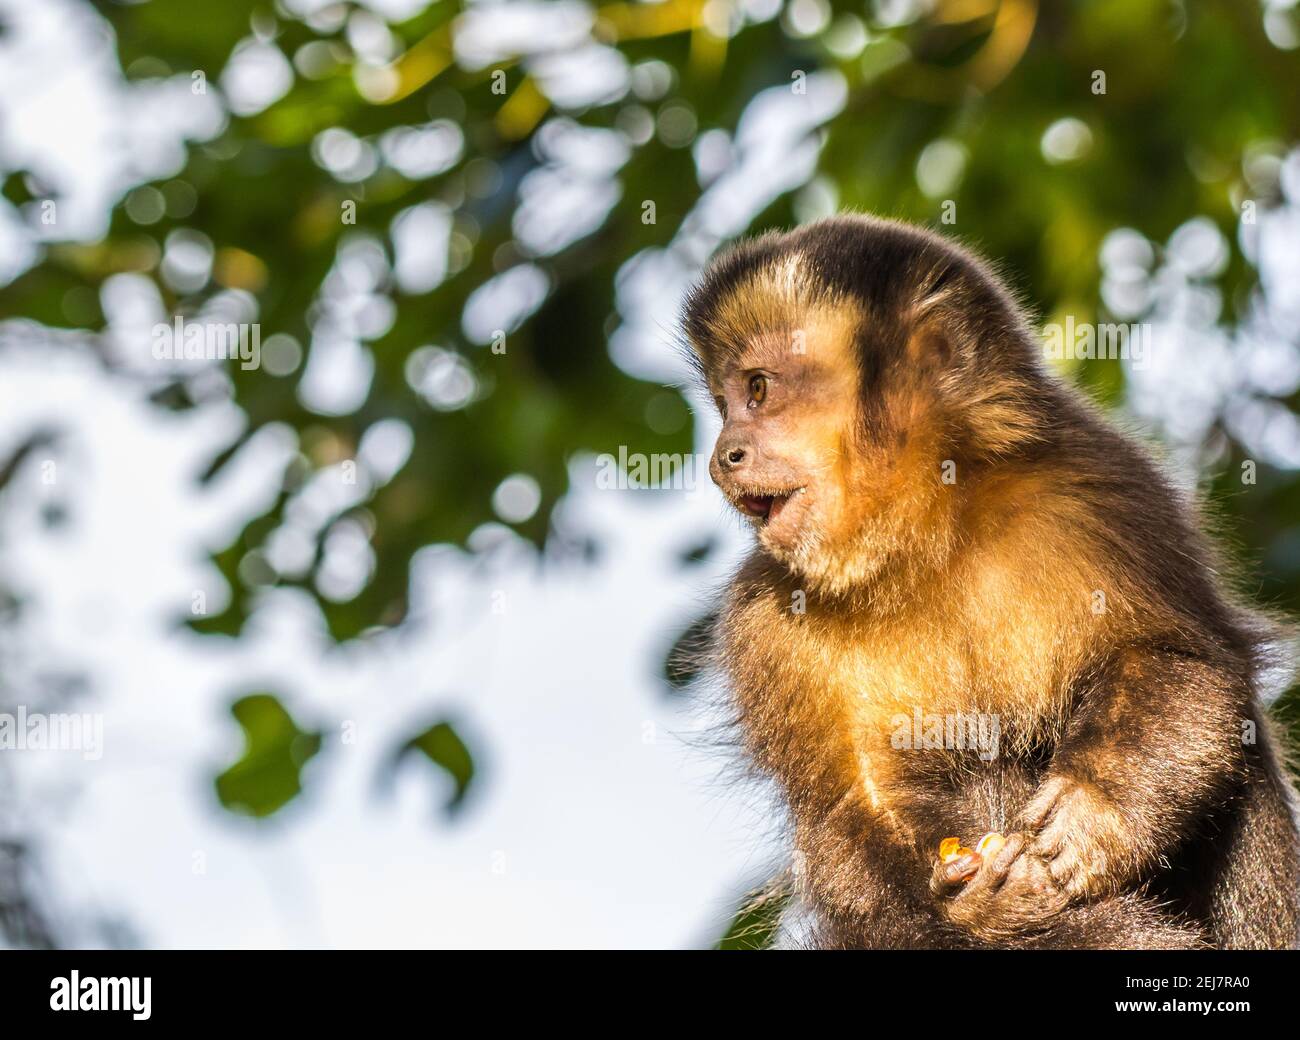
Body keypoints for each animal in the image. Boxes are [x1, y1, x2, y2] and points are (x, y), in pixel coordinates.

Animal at [681, 214, 1300, 949]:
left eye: (757, 389)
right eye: (725, 403)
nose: (724, 455)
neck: (924, 537)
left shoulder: (1096, 488)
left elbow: (1181, 662)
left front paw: (1093, 812)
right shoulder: (763, 615)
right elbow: (855, 820)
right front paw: (985, 908)